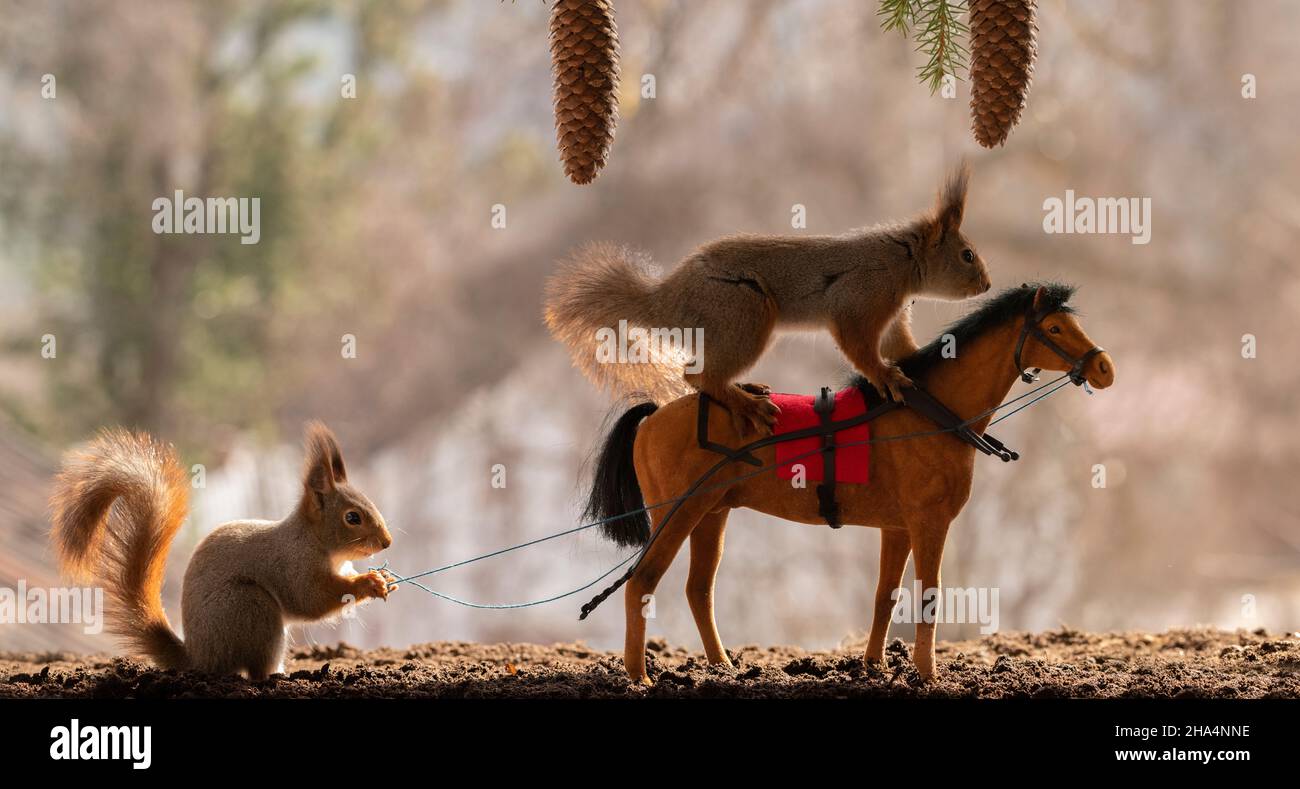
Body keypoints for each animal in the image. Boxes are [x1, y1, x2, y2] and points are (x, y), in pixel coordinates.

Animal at [49, 422, 396, 680]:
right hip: (250, 607)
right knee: (255, 669)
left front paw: (384, 579)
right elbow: (311, 600)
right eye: (352, 517)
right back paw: (275, 675)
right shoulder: (293, 565)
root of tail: (199, 658)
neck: (317, 542)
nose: (387, 542)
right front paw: (368, 583)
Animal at [544, 163, 992, 435]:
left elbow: (899, 345)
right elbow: (858, 345)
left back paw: (746, 389)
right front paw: (886, 377)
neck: (902, 258)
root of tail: (667, 300)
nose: (987, 284)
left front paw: (919, 357)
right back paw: (746, 405)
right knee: (699, 378)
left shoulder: (892, 315)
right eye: (967, 255)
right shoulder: (859, 297)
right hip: (745, 315)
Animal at [581, 283, 1116, 684]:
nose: (1103, 367)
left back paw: (724, 668)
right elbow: (928, 594)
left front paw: (875, 665)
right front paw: (927, 674)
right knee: (643, 583)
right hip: (678, 515)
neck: (927, 413)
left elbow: (885, 596)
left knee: (698, 590)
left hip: (711, 514)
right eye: (1053, 328)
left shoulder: (898, 528)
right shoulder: (930, 523)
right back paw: (639, 676)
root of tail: (655, 414)